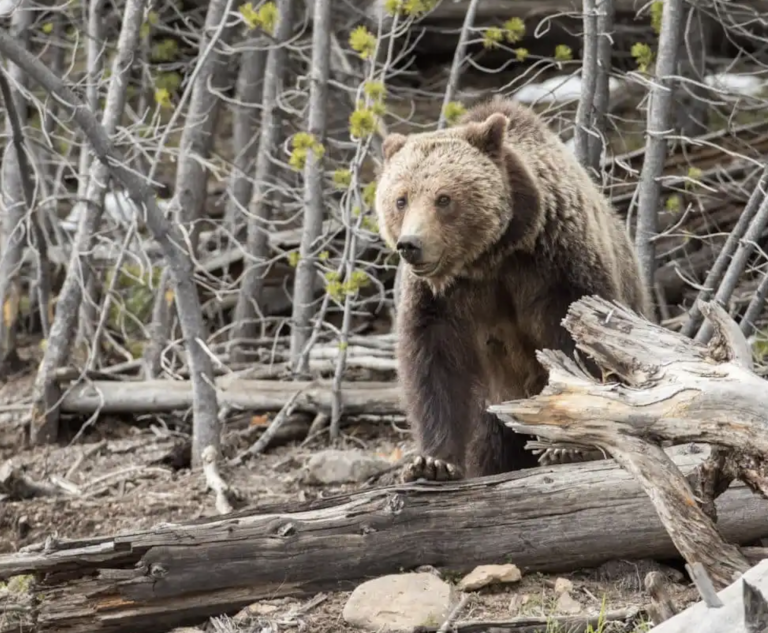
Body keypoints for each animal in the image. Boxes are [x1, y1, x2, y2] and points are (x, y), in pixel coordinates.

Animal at [373, 95, 653, 483]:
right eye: (401, 199)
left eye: (443, 198)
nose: (410, 245)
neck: (491, 256)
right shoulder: (441, 298)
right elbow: (434, 364)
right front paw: (433, 462)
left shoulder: (556, 266)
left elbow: (577, 346)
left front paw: (567, 447)